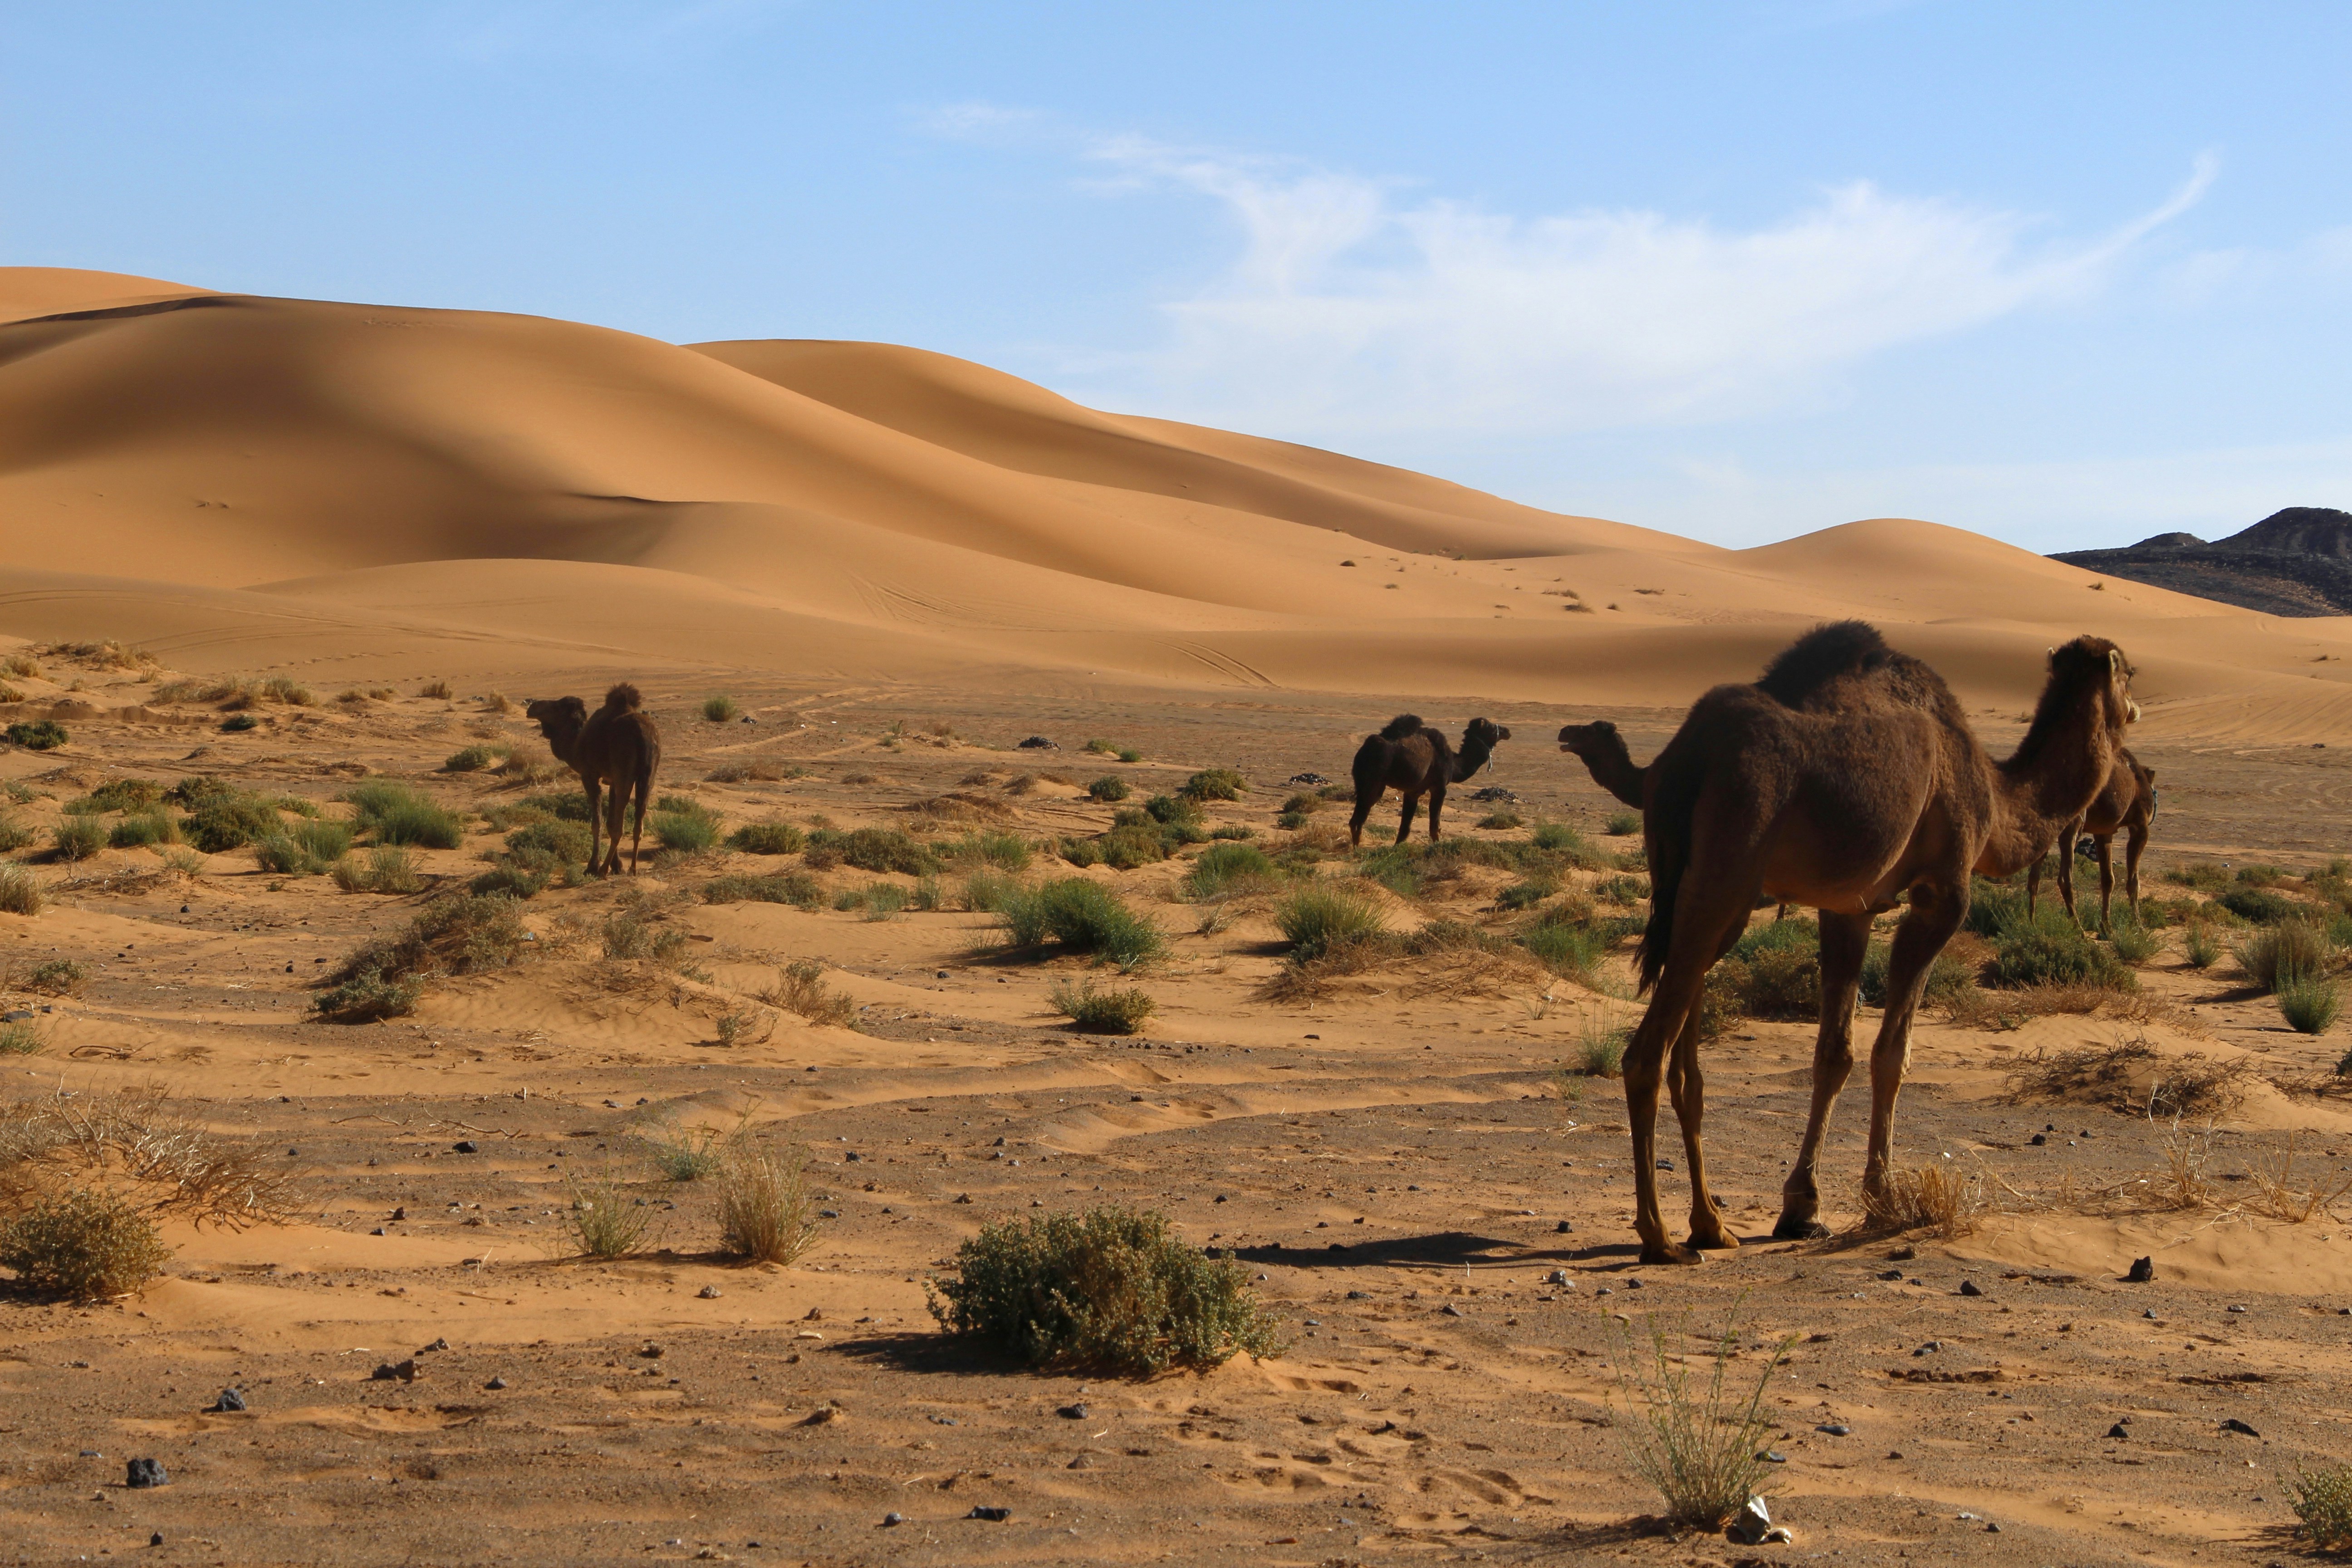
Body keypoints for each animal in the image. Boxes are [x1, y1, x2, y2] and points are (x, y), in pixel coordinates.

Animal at [525, 683, 663, 875]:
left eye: (558, 706)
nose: (532, 706)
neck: (575, 745)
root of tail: (642, 734)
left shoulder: (589, 775)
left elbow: (597, 822)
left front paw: (593, 866)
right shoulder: (611, 779)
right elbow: (610, 821)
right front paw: (617, 865)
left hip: (624, 768)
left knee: (621, 823)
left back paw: (603, 870)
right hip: (650, 772)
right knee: (638, 817)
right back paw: (632, 869)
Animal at [1346, 715, 1511, 847]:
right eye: (1491, 727)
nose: (1507, 731)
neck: (1454, 764)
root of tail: (1365, 750)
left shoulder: (1413, 792)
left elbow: (1405, 828)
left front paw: (1396, 850)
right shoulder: (1439, 787)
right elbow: (1435, 827)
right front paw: (1437, 848)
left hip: (1362, 781)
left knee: (1357, 818)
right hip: (1375, 781)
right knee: (1359, 818)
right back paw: (1357, 849)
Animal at [1617, 621, 2138, 1266]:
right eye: (2129, 675)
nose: (2136, 708)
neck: (1995, 797)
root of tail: (1686, 756)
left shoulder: (1851, 908)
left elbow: (1833, 1053)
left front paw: (1803, 1206)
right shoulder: (1943, 894)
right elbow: (1893, 1054)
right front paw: (1881, 1195)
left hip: (1693, 882)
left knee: (1686, 1054)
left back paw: (1711, 1225)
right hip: (1731, 863)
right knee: (1646, 1054)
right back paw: (1659, 1236)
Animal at [2027, 747, 2156, 931]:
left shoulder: (2104, 832)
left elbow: (2108, 880)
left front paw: (2106, 927)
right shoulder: (2140, 826)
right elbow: (2133, 881)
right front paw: (2139, 925)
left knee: (2034, 878)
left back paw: (2033, 924)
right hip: (2073, 821)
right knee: (2065, 878)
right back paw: (2079, 930)